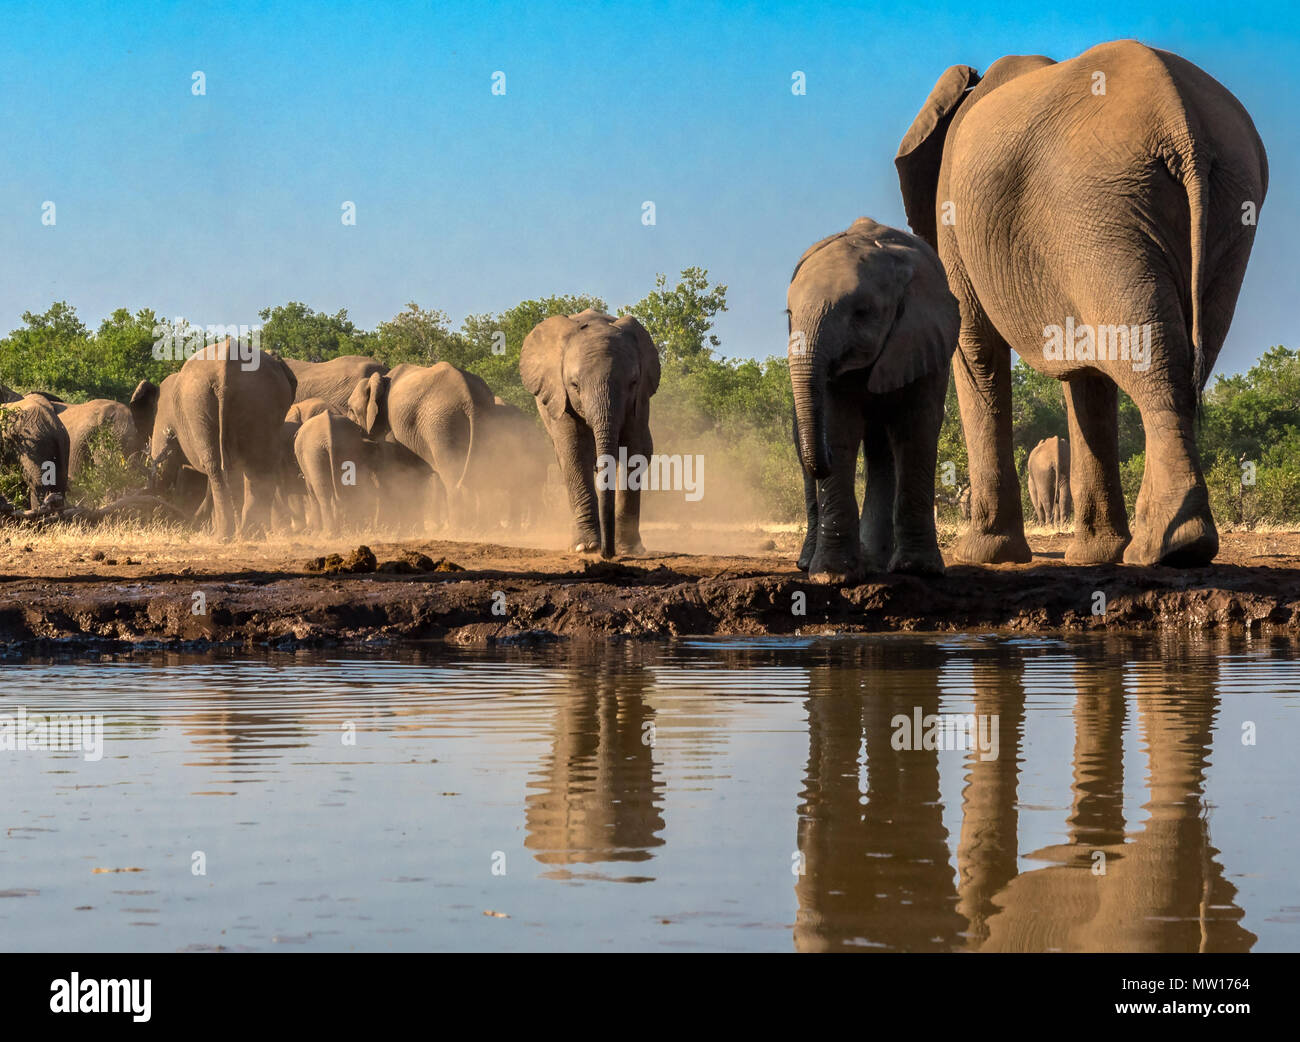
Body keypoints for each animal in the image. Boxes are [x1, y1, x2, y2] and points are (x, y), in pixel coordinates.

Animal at [148, 339, 298, 539]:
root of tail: (223, 373)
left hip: (223, 401)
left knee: (225, 466)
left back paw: (233, 535)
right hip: (205, 402)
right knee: (246, 466)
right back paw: (238, 535)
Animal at [347, 361, 496, 529]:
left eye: (351, 410)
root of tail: (469, 398)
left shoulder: (390, 427)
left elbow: (392, 471)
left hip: (441, 425)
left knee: (453, 477)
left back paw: (457, 530)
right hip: (484, 423)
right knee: (482, 474)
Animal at [519, 309, 659, 557]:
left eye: (633, 383)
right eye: (574, 385)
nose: (607, 553)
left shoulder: (640, 401)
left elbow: (634, 452)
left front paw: (630, 549)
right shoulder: (559, 395)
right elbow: (574, 452)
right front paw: (586, 547)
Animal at [789, 218, 958, 581]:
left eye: (862, 313)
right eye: (789, 315)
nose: (823, 458)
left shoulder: (926, 340)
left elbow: (916, 429)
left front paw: (919, 570)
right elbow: (840, 428)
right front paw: (833, 577)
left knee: (884, 448)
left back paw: (878, 563)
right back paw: (812, 564)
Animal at [895, 39, 1268, 566]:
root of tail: (1182, 123)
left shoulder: (953, 215)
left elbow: (976, 349)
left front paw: (982, 554)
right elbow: (1087, 376)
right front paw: (1095, 556)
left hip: (1100, 204)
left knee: (1154, 356)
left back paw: (1167, 548)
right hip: (1224, 200)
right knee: (1186, 351)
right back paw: (1174, 546)